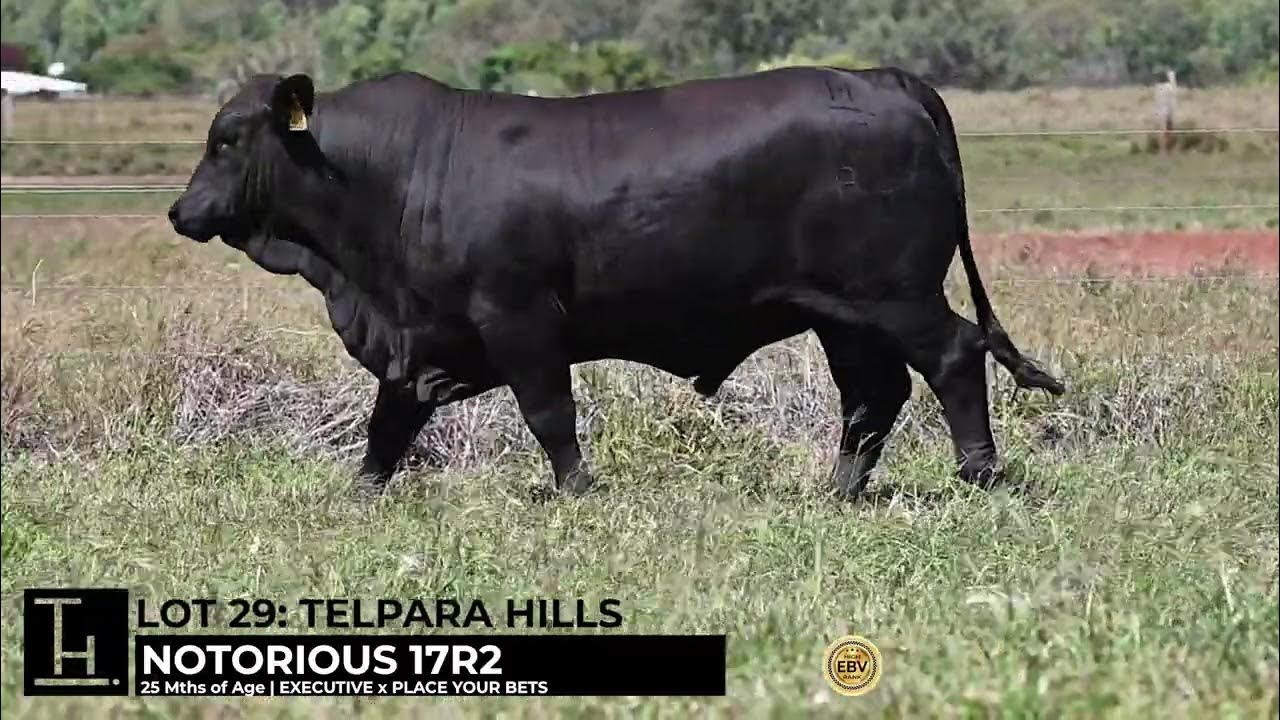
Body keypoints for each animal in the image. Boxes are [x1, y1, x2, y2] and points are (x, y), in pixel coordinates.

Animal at [168, 67, 1064, 499]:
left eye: (227, 140)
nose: (182, 211)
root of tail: (887, 79)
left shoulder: (518, 319)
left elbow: (549, 415)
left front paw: (575, 491)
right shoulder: (419, 337)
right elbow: (387, 427)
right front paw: (357, 497)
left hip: (898, 295)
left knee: (953, 356)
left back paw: (979, 472)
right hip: (843, 314)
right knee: (872, 396)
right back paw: (839, 491)